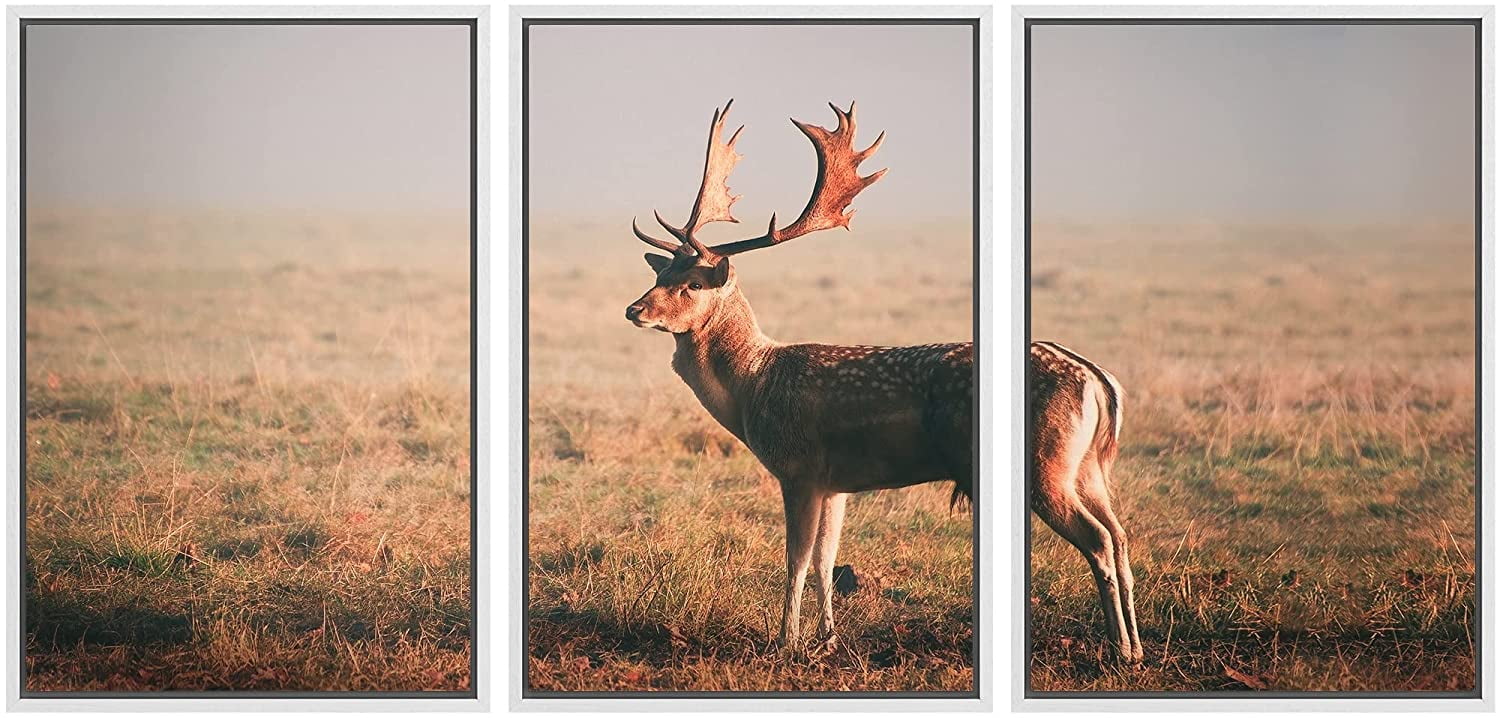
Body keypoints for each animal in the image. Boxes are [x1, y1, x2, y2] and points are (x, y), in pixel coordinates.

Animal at [624, 100, 973, 654]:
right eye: (660, 274)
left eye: (694, 283)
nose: (635, 309)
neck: (754, 386)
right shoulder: (837, 485)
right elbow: (828, 561)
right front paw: (827, 638)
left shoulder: (800, 468)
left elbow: (797, 560)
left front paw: (786, 640)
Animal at [1028, 340, 1142, 662]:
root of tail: (1101, 384)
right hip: (1087, 472)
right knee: (1118, 534)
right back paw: (1136, 649)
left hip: (1047, 475)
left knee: (1098, 536)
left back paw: (1121, 649)